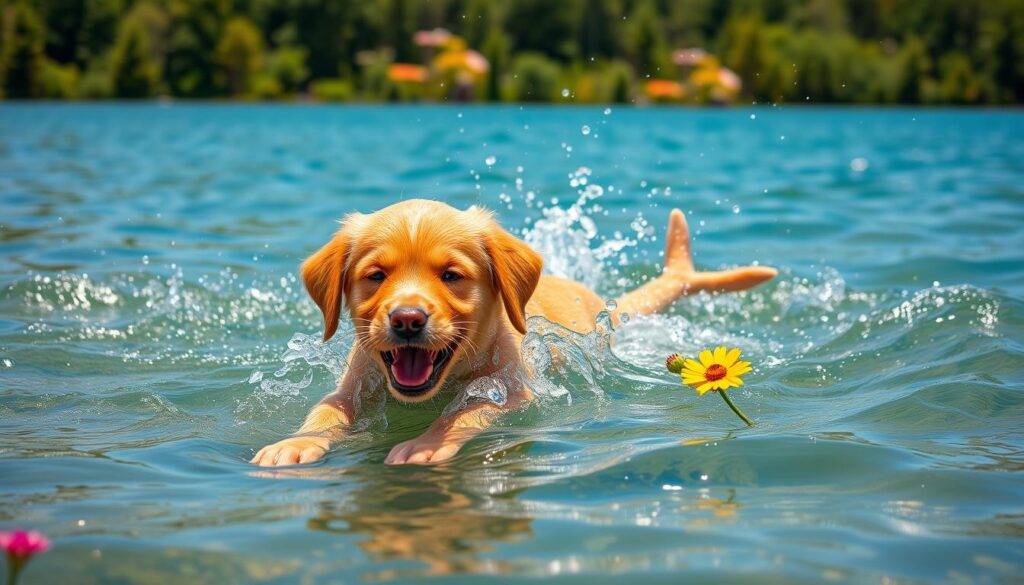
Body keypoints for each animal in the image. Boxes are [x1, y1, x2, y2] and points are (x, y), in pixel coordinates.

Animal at [251, 200, 770, 467]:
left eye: (452, 276)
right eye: (376, 276)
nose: (407, 319)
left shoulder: (516, 391)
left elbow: (467, 412)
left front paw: (425, 444)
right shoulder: (355, 383)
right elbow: (325, 411)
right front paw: (294, 444)